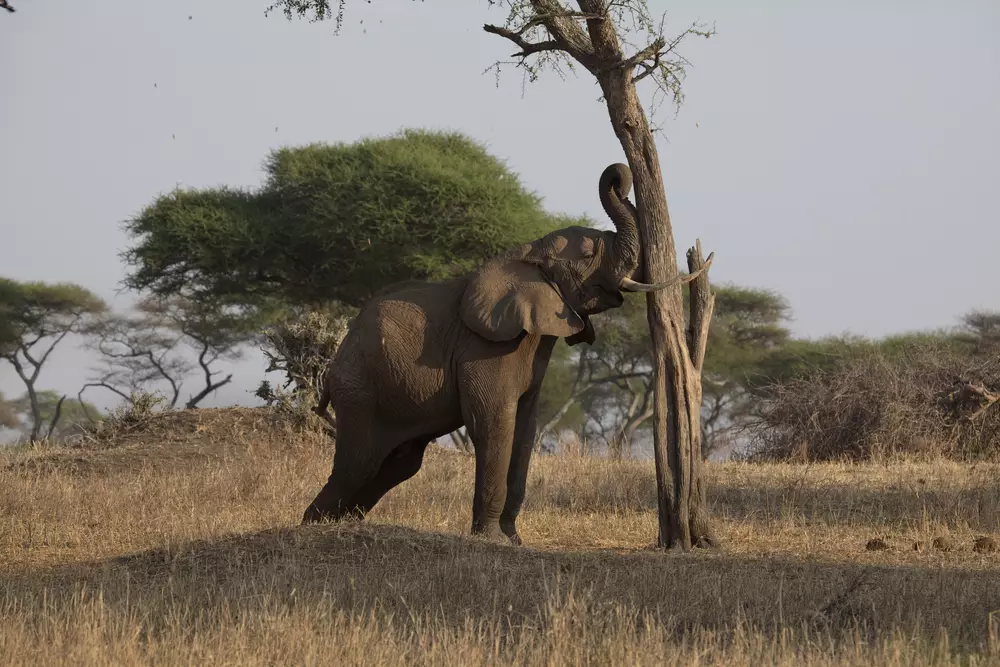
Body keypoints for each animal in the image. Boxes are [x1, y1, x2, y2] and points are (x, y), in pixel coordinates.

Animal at [300, 162, 708, 544]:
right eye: (589, 253)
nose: (617, 179)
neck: (529, 253)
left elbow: (525, 429)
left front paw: (514, 539)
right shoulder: (486, 348)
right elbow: (494, 422)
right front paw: (492, 538)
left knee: (398, 464)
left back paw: (338, 523)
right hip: (360, 388)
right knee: (359, 462)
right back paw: (316, 526)